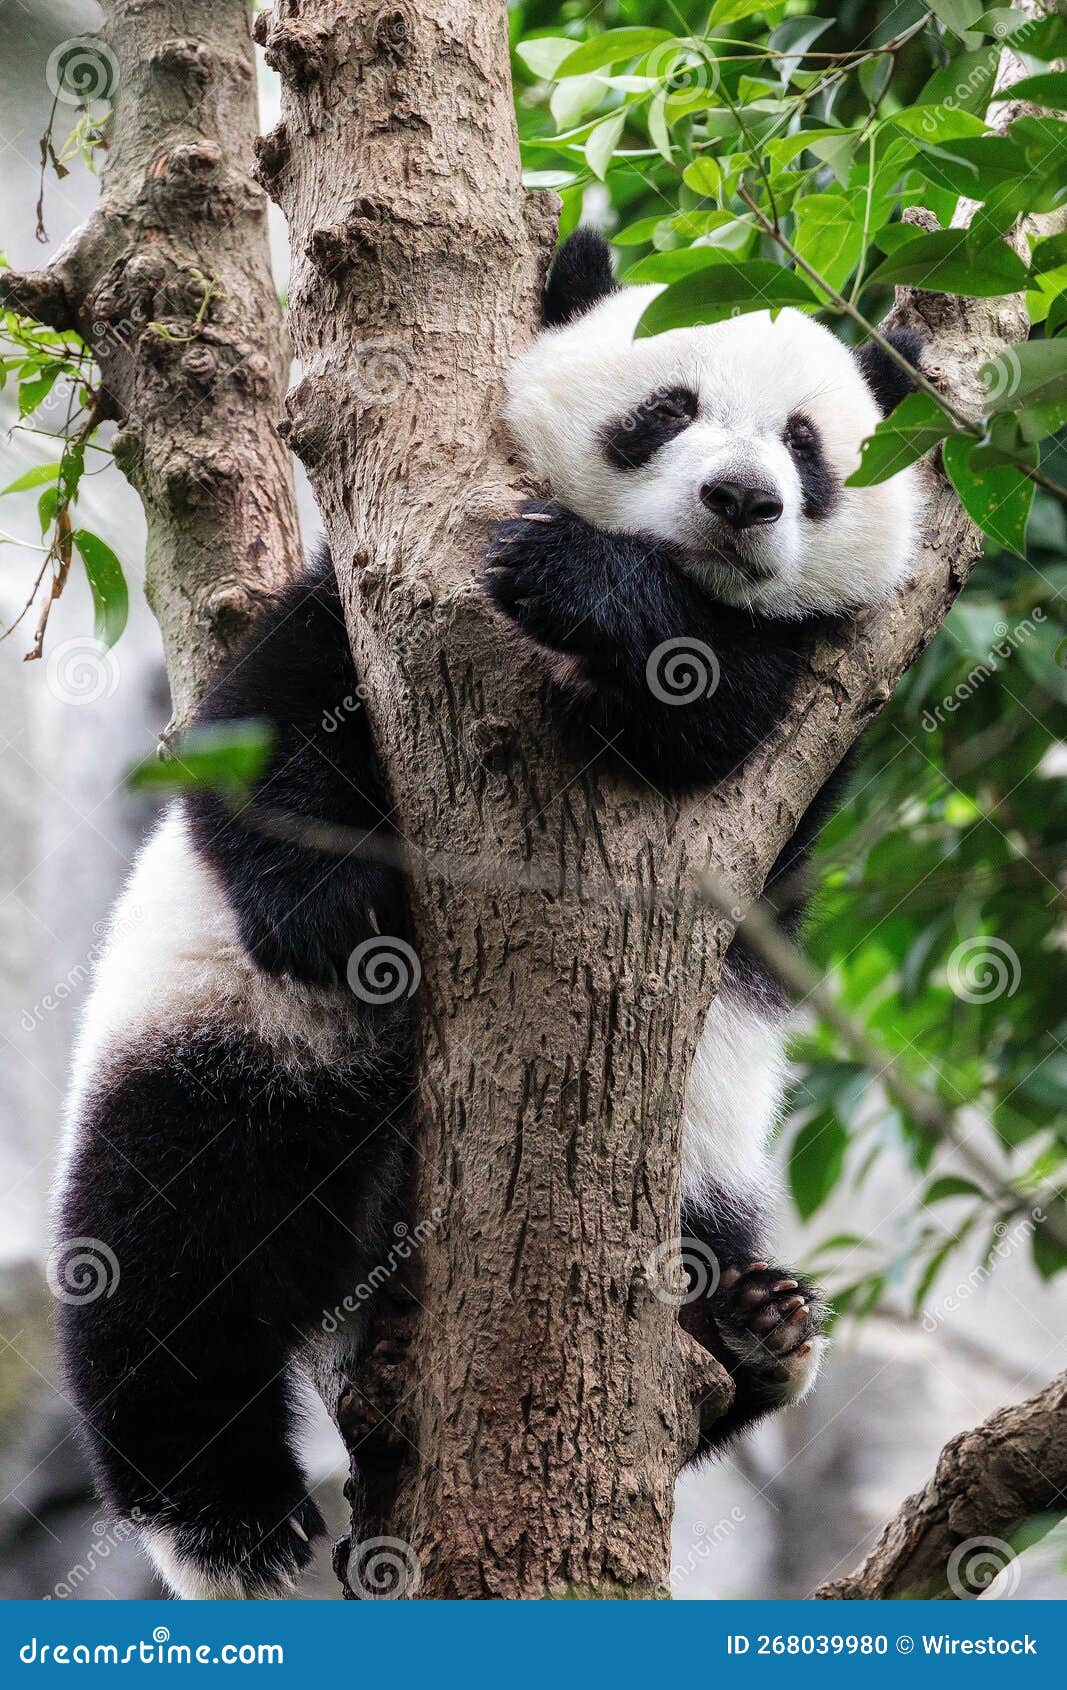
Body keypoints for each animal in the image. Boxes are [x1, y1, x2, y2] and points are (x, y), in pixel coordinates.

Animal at [53, 228, 920, 1599]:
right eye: (666, 408)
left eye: (806, 447)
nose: (742, 500)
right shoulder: (365, 600)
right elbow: (266, 733)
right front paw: (340, 921)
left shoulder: (815, 718)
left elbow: (707, 726)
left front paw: (593, 590)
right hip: (220, 1038)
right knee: (169, 1251)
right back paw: (227, 1519)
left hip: (694, 1164)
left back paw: (749, 1333)